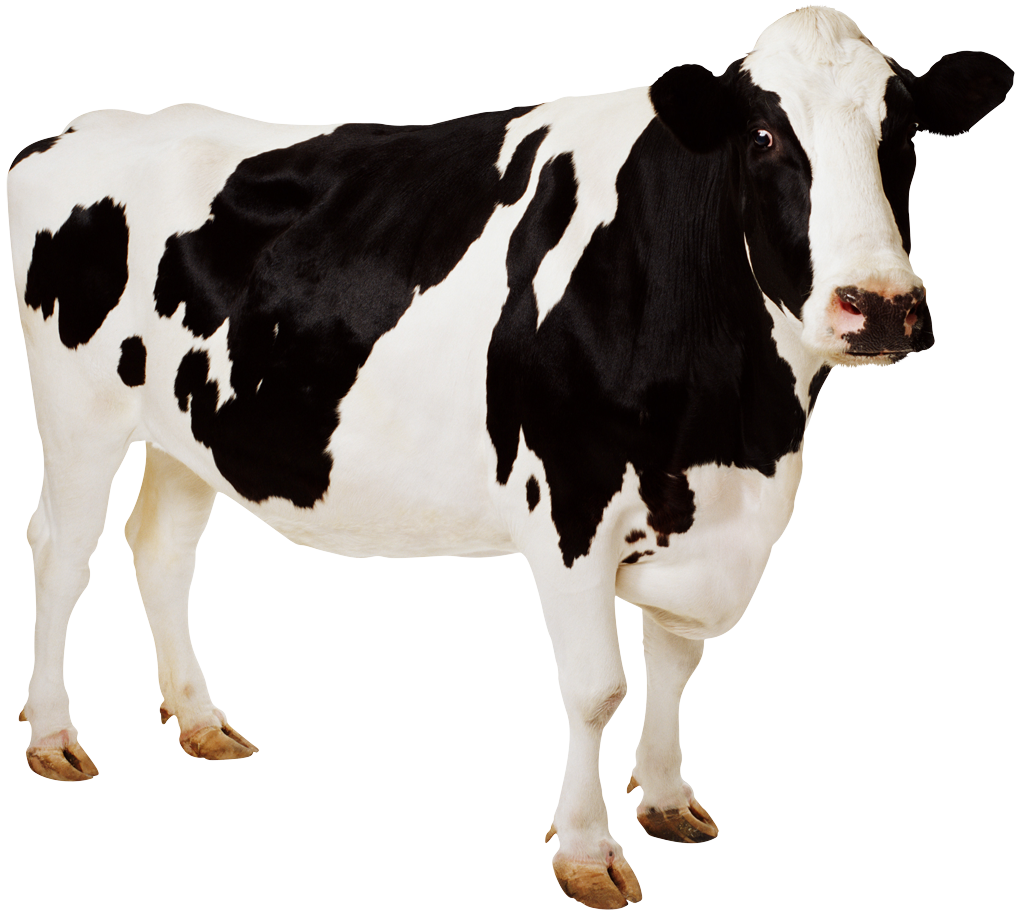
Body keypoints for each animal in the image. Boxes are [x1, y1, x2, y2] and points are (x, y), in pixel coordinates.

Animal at [6, 5, 1012, 909]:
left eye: (904, 131)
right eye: (764, 134)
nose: (880, 305)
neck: (740, 426)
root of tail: (77, 128)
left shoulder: (705, 513)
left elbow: (676, 660)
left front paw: (669, 799)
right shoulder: (569, 502)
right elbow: (598, 687)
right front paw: (588, 851)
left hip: (192, 428)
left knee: (162, 550)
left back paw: (203, 719)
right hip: (78, 412)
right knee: (62, 550)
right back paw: (54, 736)